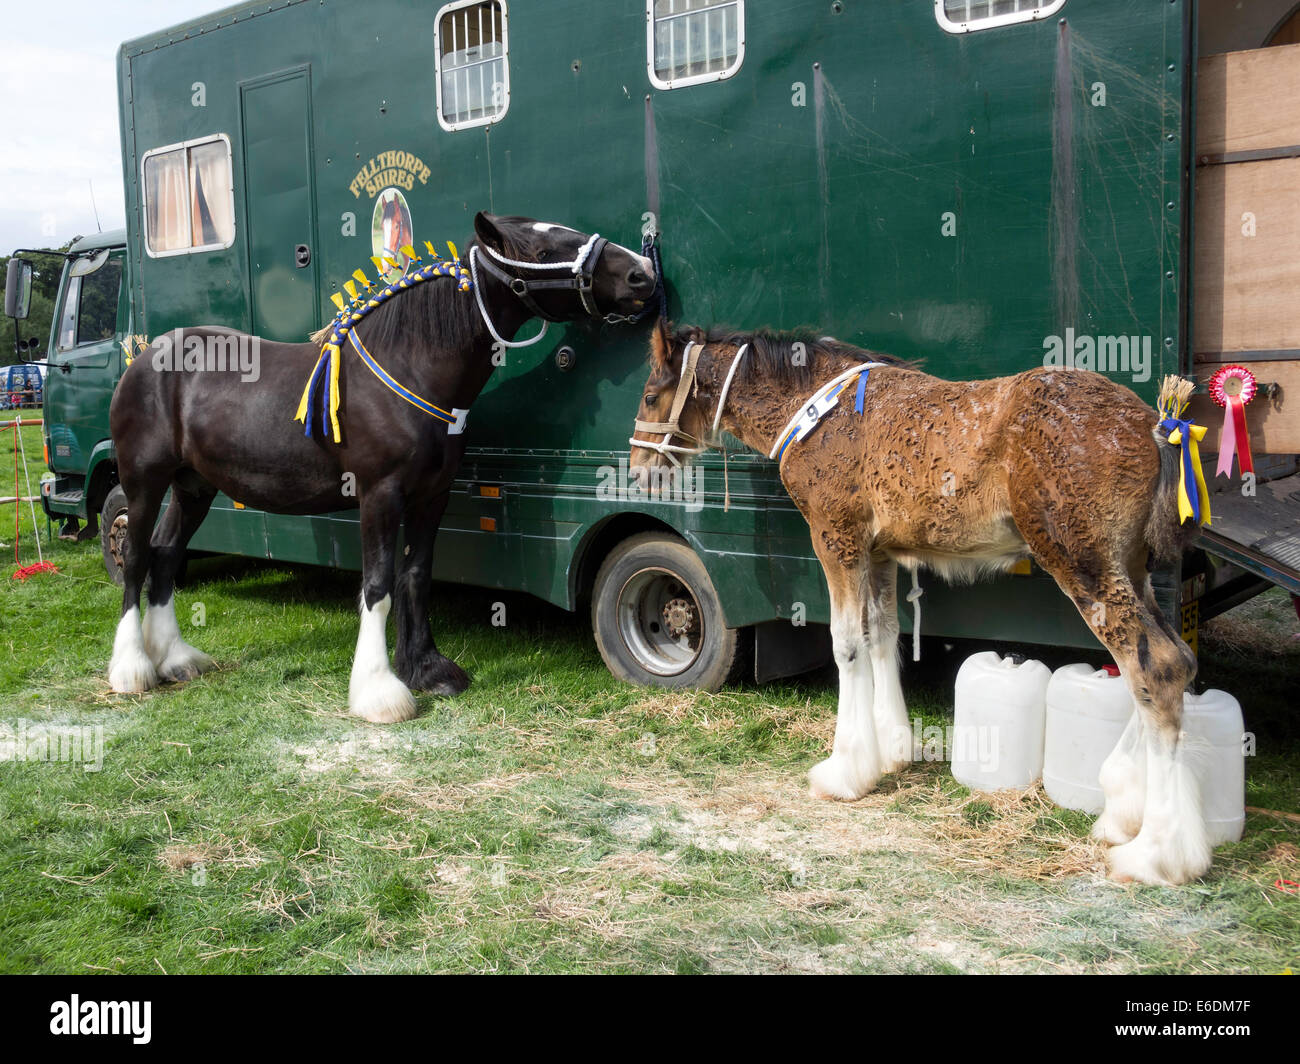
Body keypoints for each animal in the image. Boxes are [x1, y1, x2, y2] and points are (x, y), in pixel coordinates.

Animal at [108, 212, 658, 723]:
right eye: (544, 249)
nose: (643, 273)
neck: (408, 367)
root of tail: (143, 359)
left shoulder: (432, 496)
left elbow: (414, 575)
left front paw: (427, 670)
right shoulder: (379, 494)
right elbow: (377, 585)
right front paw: (380, 690)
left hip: (193, 487)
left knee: (164, 554)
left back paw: (175, 660)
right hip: (143, 482)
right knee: (134, 556)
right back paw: (132, 669)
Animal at [627, 320, 1212, 887]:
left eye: (652, 395)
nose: (636, 469)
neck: (813, 408)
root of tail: (1154, 427)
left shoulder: (836, 538)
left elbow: (846, 645)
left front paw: (844, 771)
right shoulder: (880, 551)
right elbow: (883, 636)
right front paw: (890, 751)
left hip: (1082, 562)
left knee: (1153, 667)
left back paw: (1157, 854)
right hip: (1129, 567)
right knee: (1173, 662)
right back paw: (1123, 810)